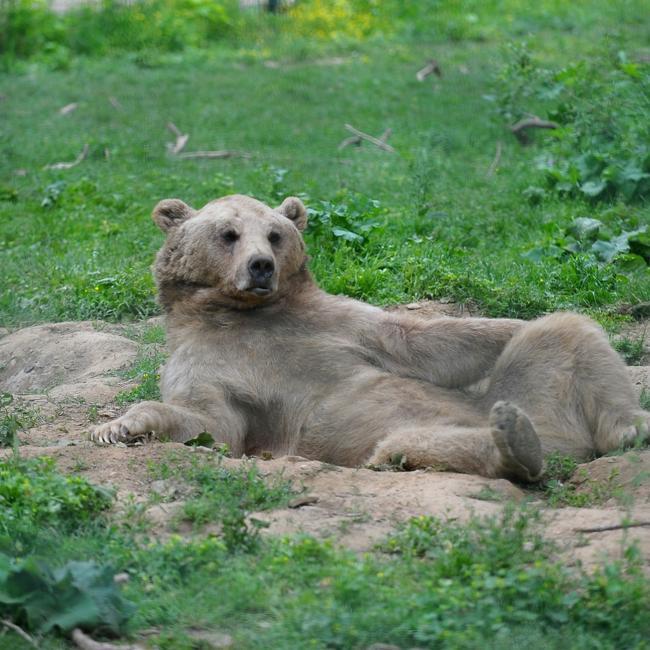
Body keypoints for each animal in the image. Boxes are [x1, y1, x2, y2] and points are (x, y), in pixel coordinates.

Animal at [91, 194, 649, 481]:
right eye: (228, 234)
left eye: (275, 234)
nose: (261, 266)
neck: (244, 314)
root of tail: (569, 447)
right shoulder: (205, 361)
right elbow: (212, 421)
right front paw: (118, 426)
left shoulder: (338, 323)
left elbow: (423, 341)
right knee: (405, 445)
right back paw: (518, 441)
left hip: (532, 389)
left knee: (567, 331)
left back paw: (628, 427)